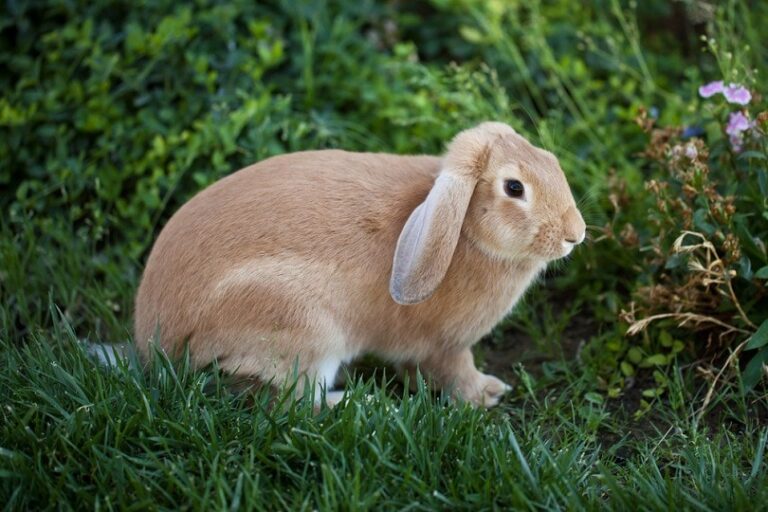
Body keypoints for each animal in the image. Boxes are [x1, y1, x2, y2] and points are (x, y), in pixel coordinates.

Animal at [134, 121, 586, 407]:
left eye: (550, 159)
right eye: (514, 188)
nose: (575, 234)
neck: (464, 229)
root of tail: (156, 342)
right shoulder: (447, 346)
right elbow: (456, 372)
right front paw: (487, 394)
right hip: (305, 334)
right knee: (298, 406)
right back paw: (362, 401)